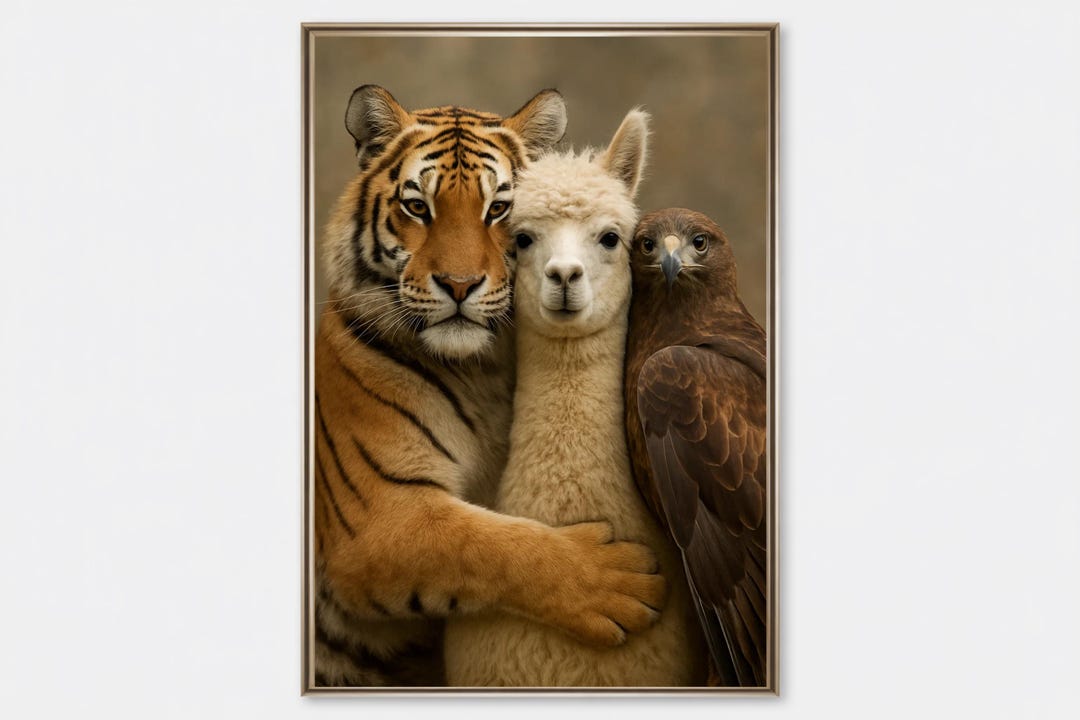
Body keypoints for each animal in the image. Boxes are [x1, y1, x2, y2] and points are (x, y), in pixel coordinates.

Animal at [312, 85, 668, 687]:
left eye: (498, 208)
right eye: (418, 207)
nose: (459, 285)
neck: (482, 373)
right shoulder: (378, 515)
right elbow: (487, 543)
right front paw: (612, 577)